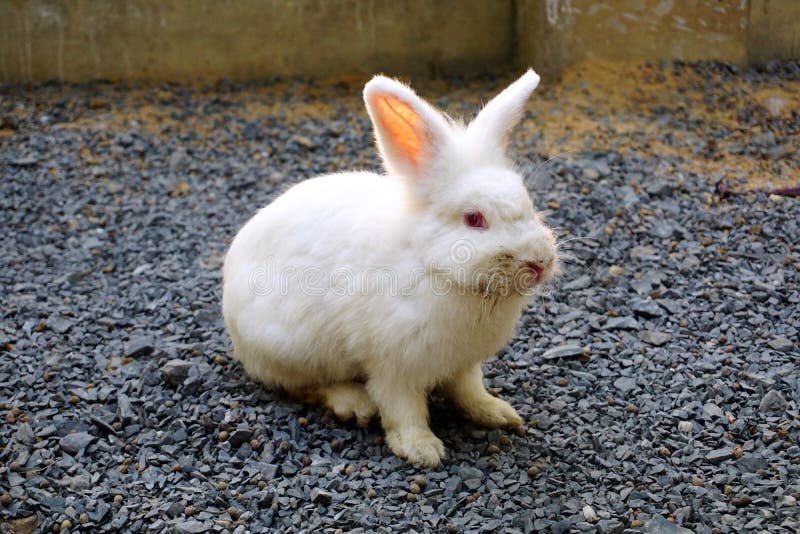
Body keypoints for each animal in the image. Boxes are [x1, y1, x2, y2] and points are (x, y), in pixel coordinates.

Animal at [222, 69, 558, 466]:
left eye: (527, 202)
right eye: (474, 219)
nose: (539, 262)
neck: (434, 266)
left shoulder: (463, 364)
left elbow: (469, 391)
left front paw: (497, 413)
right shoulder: (394, 365)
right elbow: (402, 408)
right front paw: (422, 449)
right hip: (294, 350)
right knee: (303, 386)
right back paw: (354, 403)